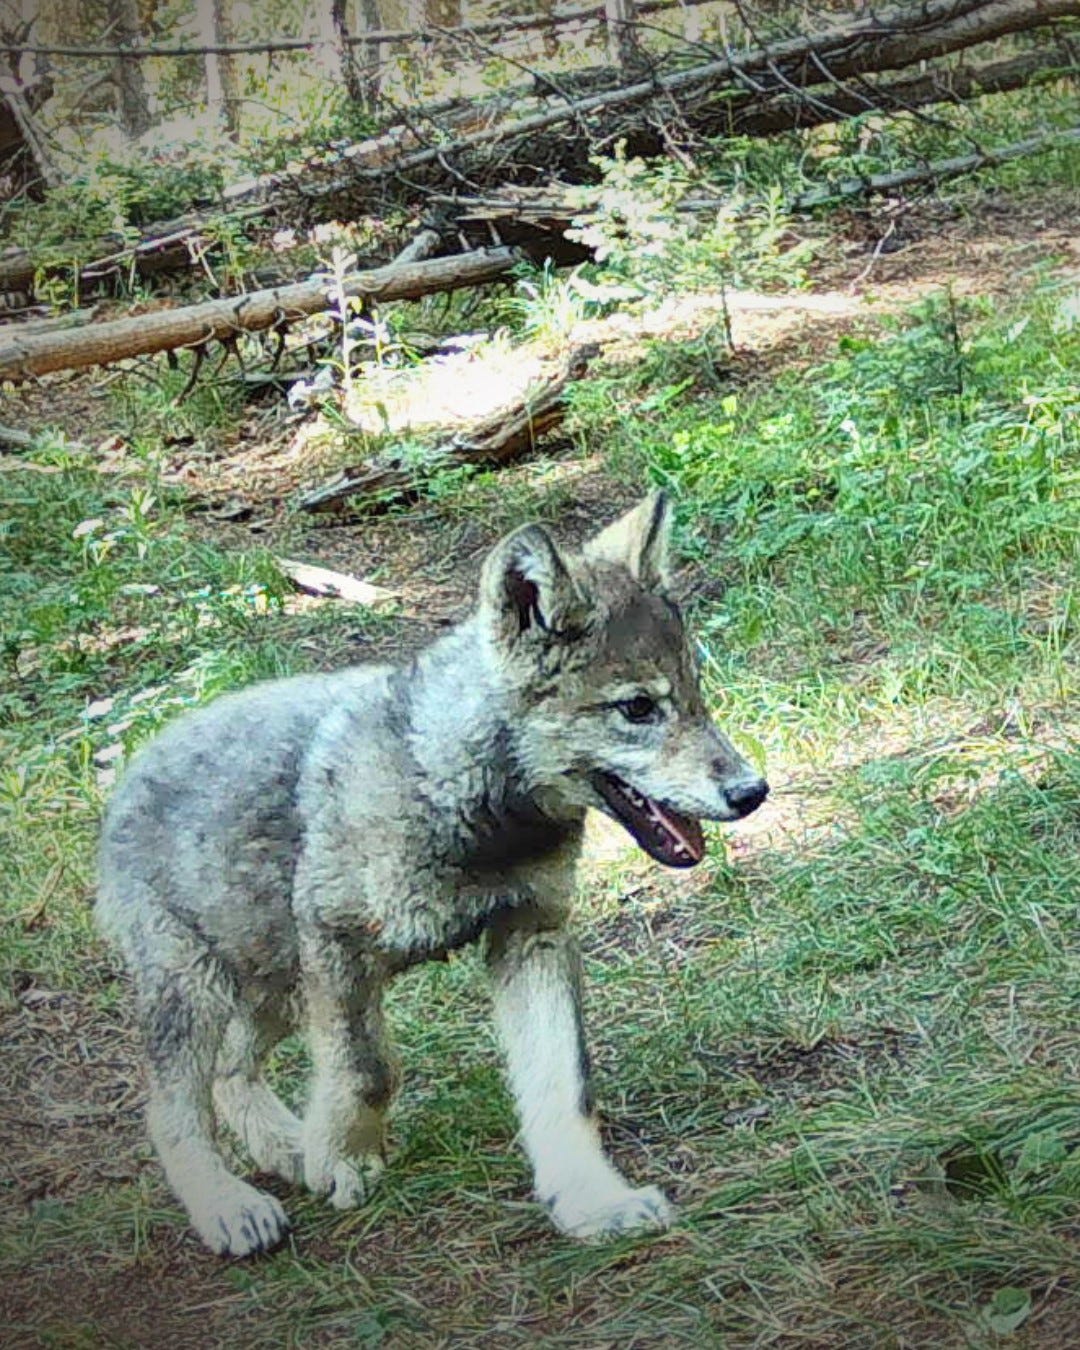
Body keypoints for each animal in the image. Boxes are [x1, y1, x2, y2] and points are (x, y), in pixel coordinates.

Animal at [97, 493, 768, 1258]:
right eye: (637, 708)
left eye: (697, 695)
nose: (753, 792)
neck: (452, 790)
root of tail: (131, 765)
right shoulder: (338, 942)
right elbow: (368, 1071)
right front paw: (343, 1158)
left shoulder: (531, 935)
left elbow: (564, 1084)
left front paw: (591, 1202)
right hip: (204, 987)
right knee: (170, 1106)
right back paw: (227, 1204)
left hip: (274, 986)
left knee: (232, 1072)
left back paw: (288, 1149)